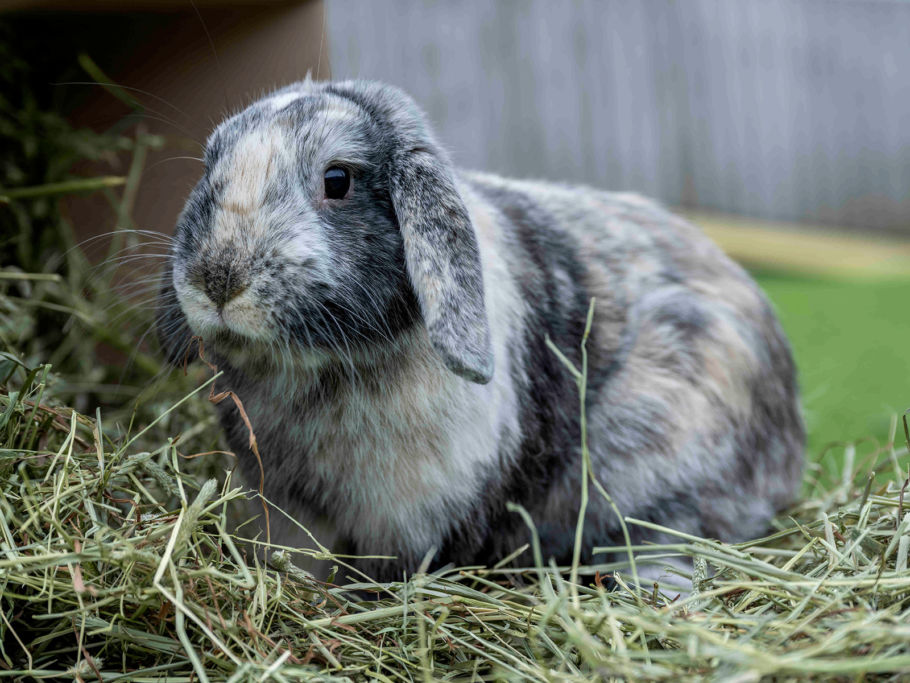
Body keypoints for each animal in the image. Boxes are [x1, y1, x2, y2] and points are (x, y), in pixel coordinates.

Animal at [157, 79, 804, 585]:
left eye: (337, 180)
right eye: (211, 168)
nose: (218, 276)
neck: (323, 375)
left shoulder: (413, 519)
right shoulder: (285, 510)